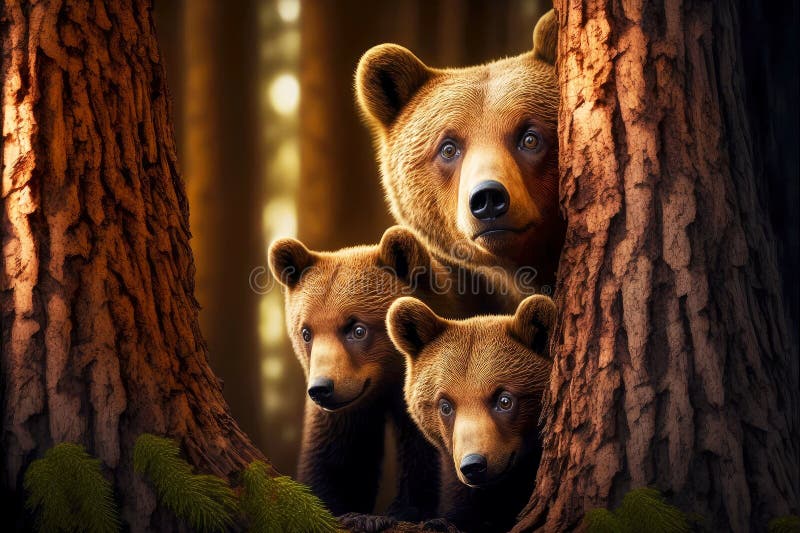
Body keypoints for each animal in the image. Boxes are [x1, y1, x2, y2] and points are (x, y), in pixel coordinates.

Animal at [269, 225, 491, 529]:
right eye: (306, 332)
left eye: (357, 329)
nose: (322, 388)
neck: (389, 383)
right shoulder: (347, 410)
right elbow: (333, 458)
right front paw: (353, 512)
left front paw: (405, 512)